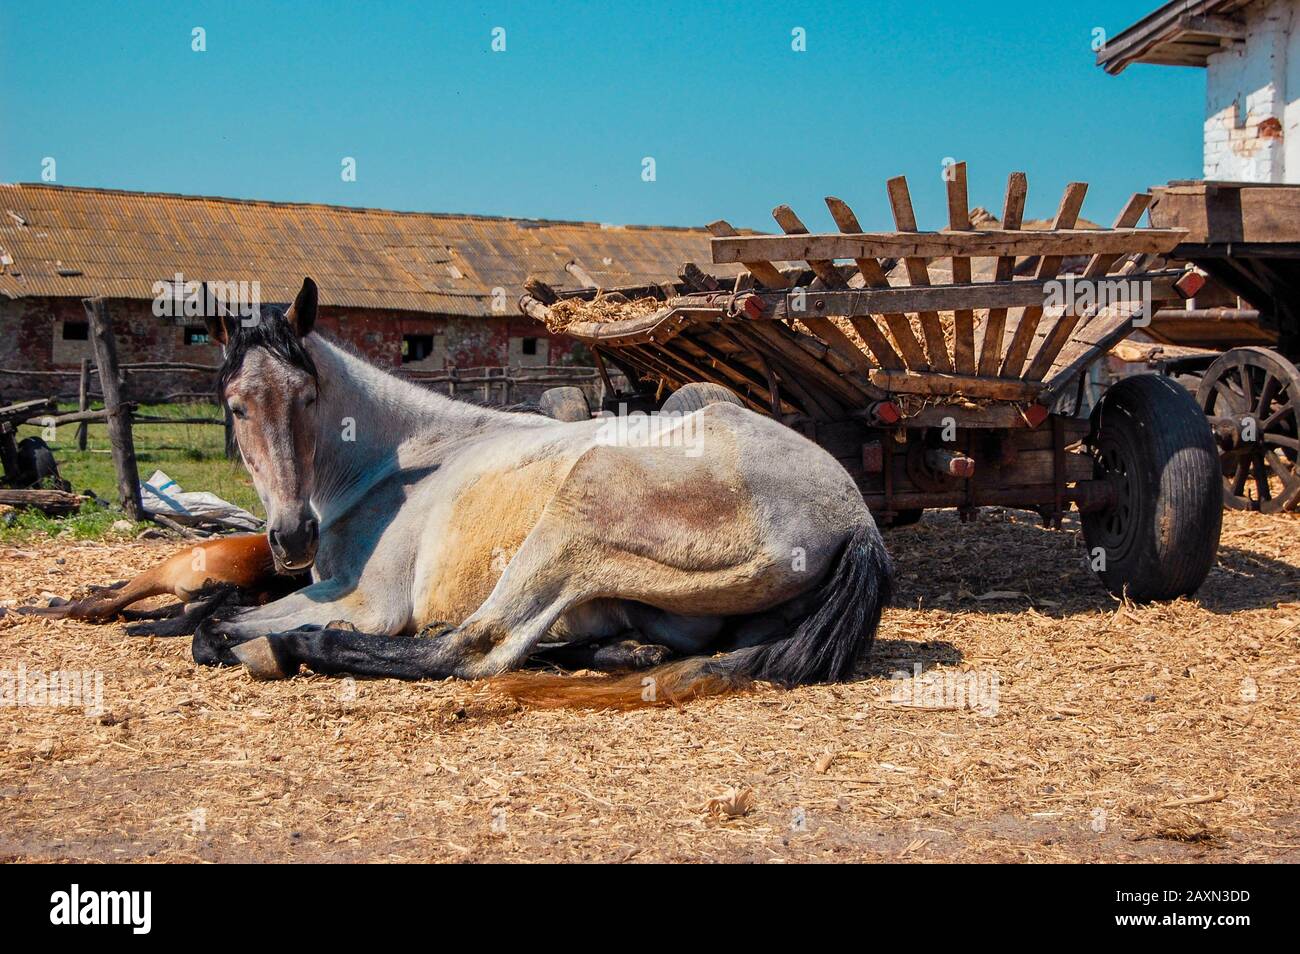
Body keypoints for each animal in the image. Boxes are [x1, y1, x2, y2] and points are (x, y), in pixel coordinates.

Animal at [26, 277, 893, 708]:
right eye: (236, 406)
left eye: (307, 398)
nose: (293, 537)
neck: (390, 464)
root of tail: (856, 518)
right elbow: (217, 609)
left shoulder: (364, 601)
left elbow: (221, 624)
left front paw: (240, 638)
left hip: (576, 516)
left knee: (472, 648)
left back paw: (306, 649)